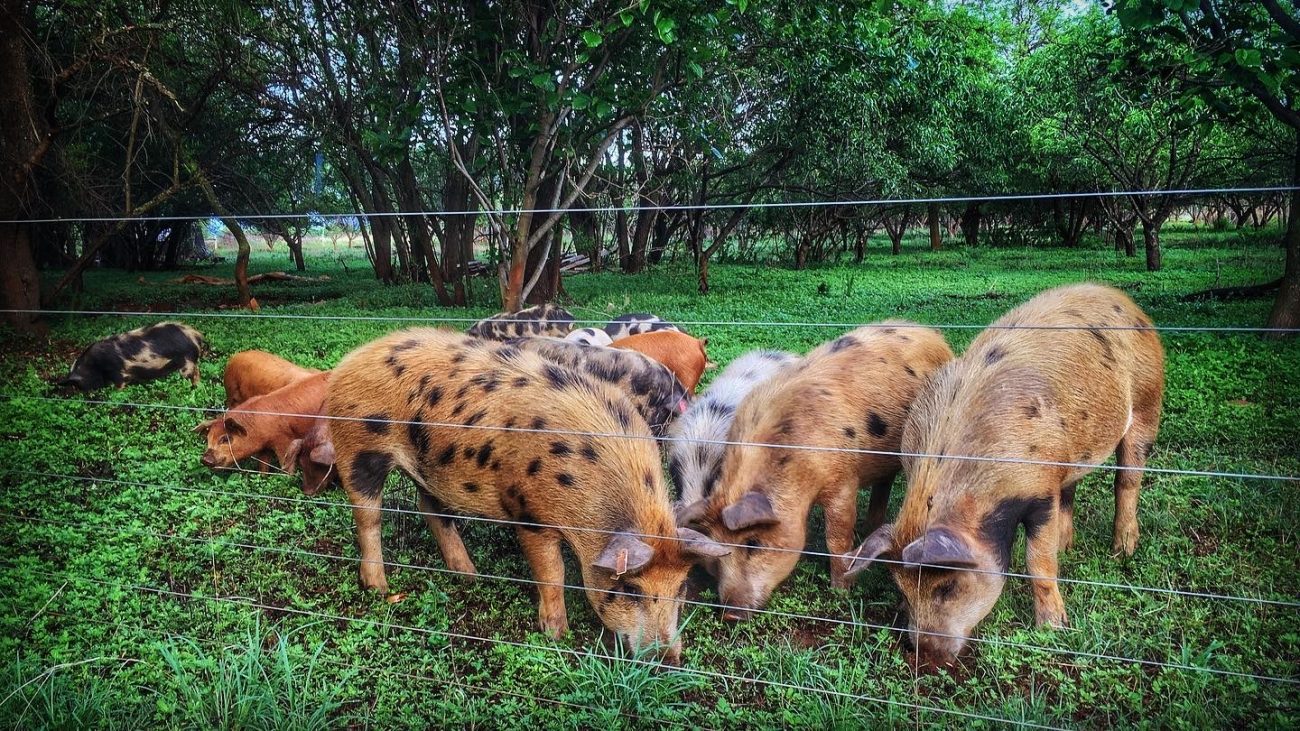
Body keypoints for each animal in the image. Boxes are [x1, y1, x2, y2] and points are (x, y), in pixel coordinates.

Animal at [60, 322, 204, 391]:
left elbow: (119, 384)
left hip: (187, 361)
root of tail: (195, 334)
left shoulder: (118, 371)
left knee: (194, 372)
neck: (94, 364)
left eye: (81, 383)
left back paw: (194, 386)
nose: (89, 395)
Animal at [198, 371, 331, 473]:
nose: (205, 459)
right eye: (208, 438)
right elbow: (263, 465)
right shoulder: (264, 448)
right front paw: (262, 477)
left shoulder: (284, 440)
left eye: (226, 439)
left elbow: (286, 465)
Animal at [841, 284, 1164, 666]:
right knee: (1072, 488)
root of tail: (1122, 299)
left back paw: (1122, 550)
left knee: (1127, 478)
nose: (926, 659)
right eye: (902, 589)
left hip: (1147, 401)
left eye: (948, 586)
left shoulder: (1038, 491)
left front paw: (1052, 628)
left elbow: (1037, 562)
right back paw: (1067, 546)